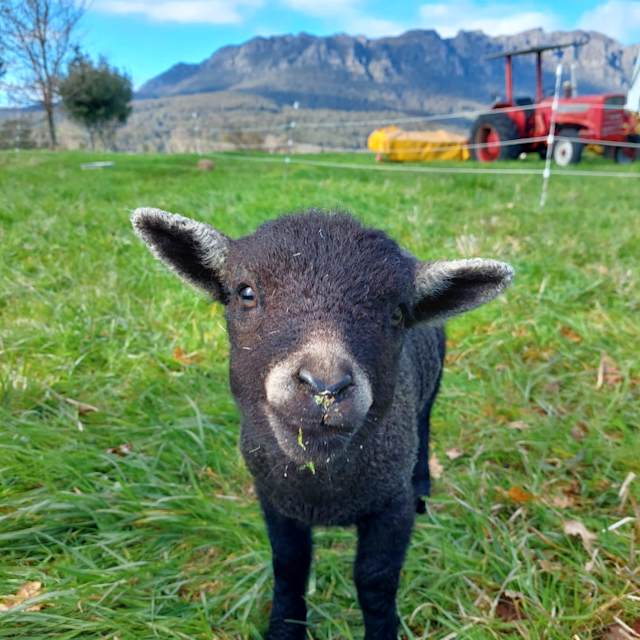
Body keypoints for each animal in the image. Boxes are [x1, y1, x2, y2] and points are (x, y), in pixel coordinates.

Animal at [132, 208, 514, 640]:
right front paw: (284, 628)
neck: (321, 488)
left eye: (397, 314)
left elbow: (375, 581)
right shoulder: (275, 500)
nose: (325, 388)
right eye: (246, 293)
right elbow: (289, 567)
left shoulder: (391, 505)